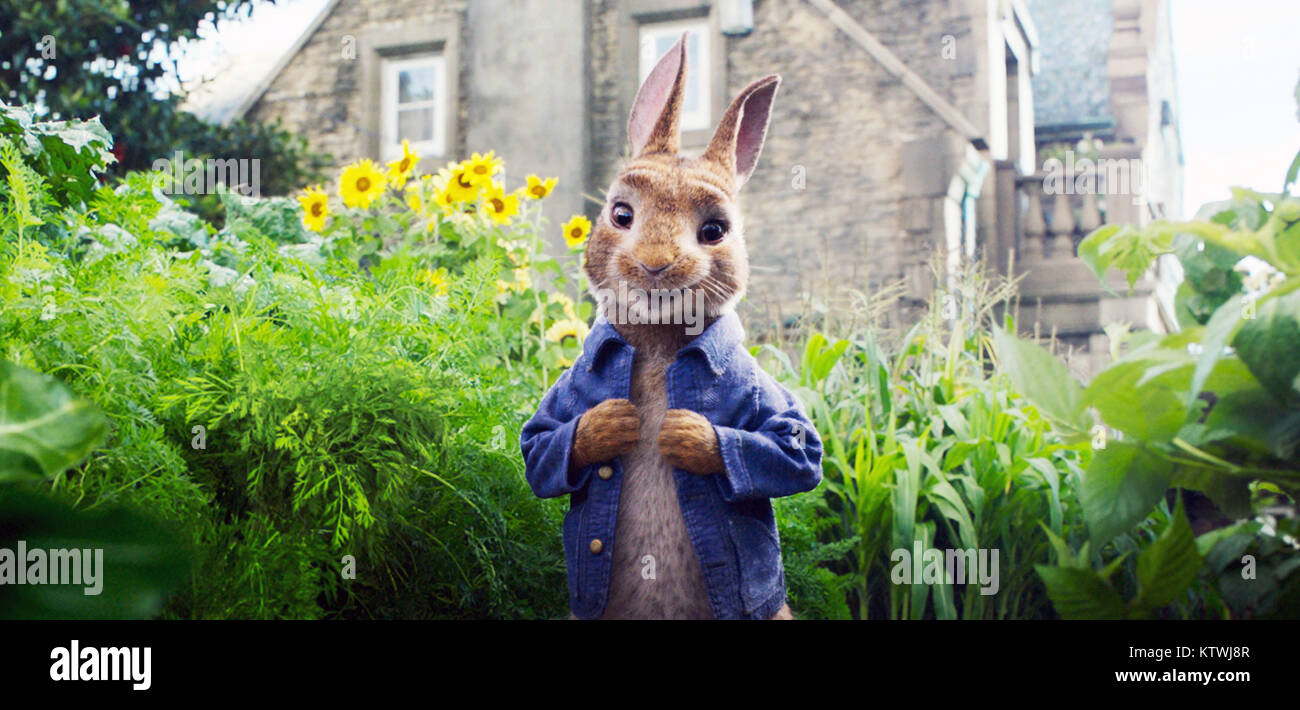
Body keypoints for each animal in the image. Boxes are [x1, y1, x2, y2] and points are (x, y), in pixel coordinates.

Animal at [522, 33, 822, 620]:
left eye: (715, 230)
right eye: (621, 214)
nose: (656, 264)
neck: (660, 342)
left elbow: (795, 450)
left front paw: (680, 431)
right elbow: (542, 445)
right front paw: (615, 422)